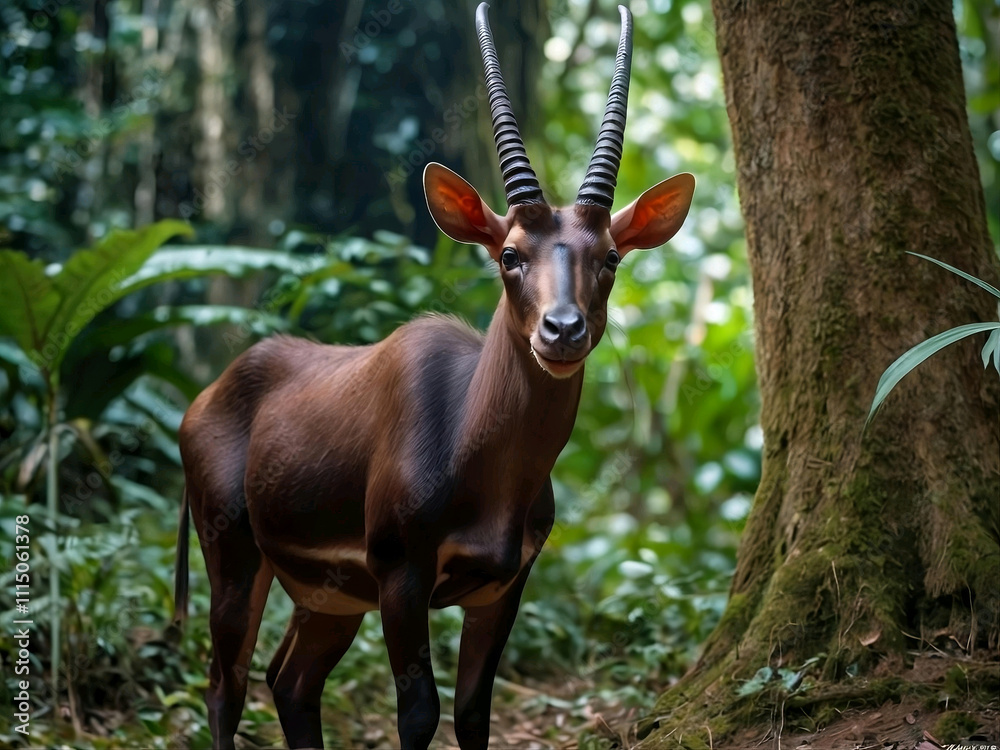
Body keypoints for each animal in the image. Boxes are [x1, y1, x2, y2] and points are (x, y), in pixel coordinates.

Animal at [173, 3, 694, 748]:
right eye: (510, 254)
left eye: (612, 257)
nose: (562, 331)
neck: (474, 445)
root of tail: (206, 398)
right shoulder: (402, 575)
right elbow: (418, 712)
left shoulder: (503, 586)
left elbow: (473, 711)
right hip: (236, 557)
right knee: (226, 685)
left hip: (329, 598)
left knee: (290, 681)